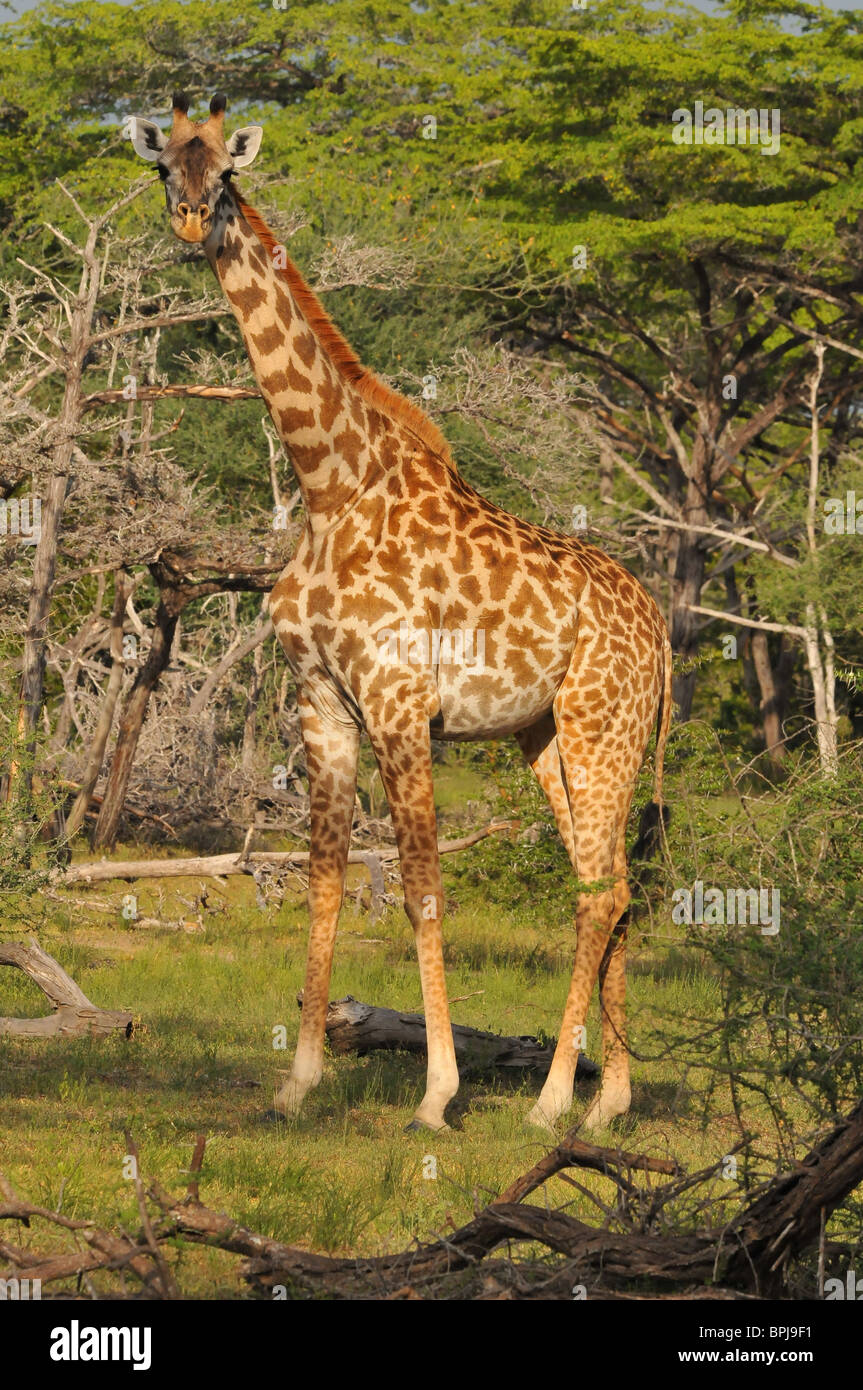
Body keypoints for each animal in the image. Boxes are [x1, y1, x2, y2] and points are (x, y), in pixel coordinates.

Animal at [127, 93, 672, 1134]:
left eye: (226, 171)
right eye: (164, 166)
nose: (188, 220)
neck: (328, 482)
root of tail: (663, 631)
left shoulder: (397, 703)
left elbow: (420, 889)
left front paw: (436, 1093)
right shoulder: (321, 705)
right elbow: (324, 884)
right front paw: (298, 1082)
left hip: (603, 726)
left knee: (598, 889)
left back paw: (551, 1100)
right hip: (549, 736)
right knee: (611, 884)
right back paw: (608, 1102)